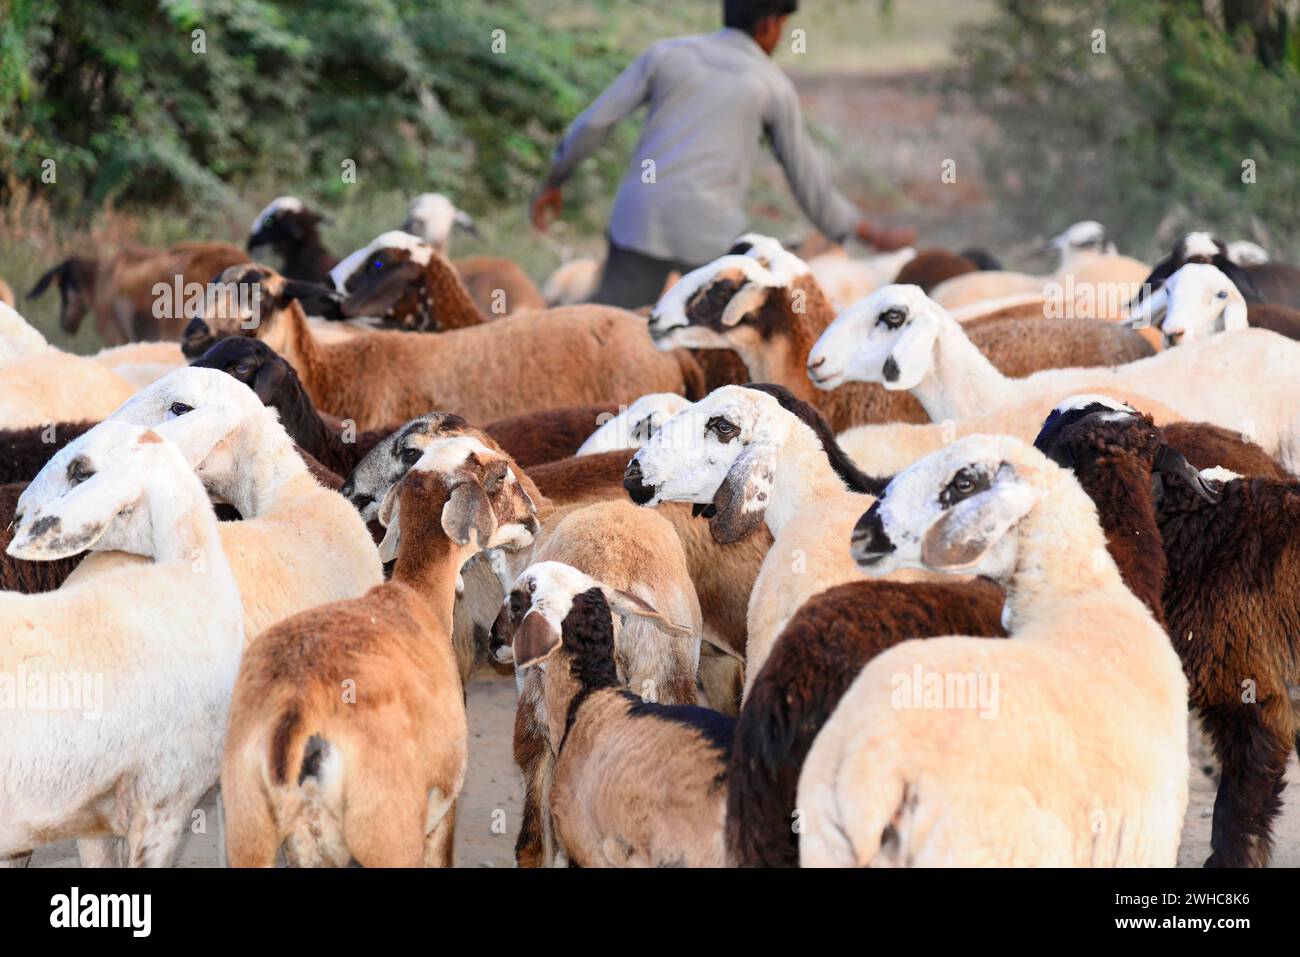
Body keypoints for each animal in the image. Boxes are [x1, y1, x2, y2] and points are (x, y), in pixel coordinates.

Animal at [219, 434, 539, 867]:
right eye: (501, 474)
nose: (533, 516)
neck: (418, 597)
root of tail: (296, 712)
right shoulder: (439, 805)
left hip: (250, 826)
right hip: (385, 829)